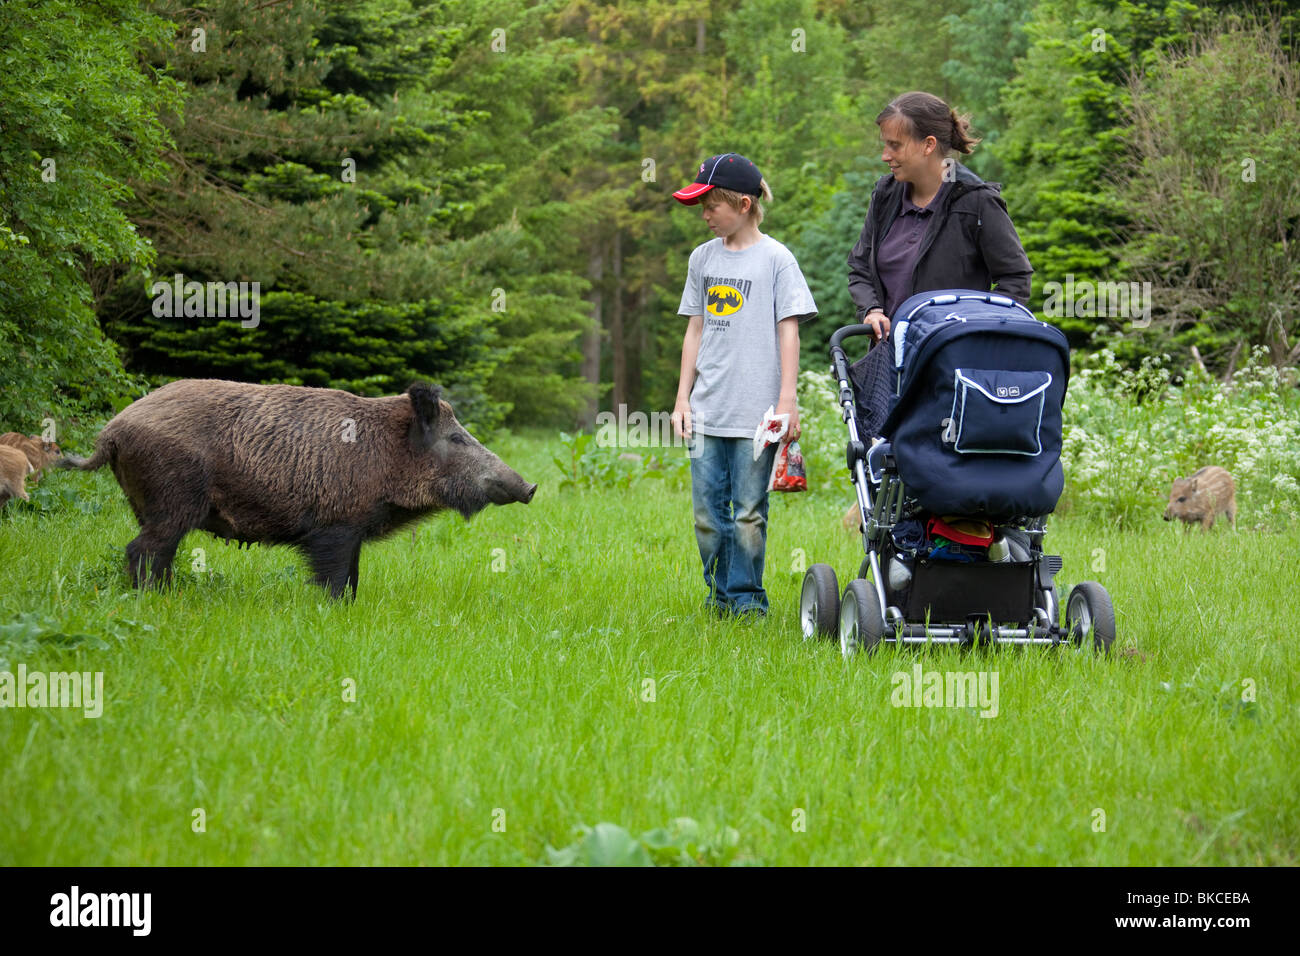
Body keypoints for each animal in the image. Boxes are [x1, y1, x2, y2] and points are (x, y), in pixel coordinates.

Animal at [58, 379, 536, 598]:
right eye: (457, 438)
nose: (530, 486)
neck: (386, 457)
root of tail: (111, 432)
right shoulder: (335, 526)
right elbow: (336, 578)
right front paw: (335, 611)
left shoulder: (353, 529)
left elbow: (354, 577)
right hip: (171, 499)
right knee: (142, 549)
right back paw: (156, 598)